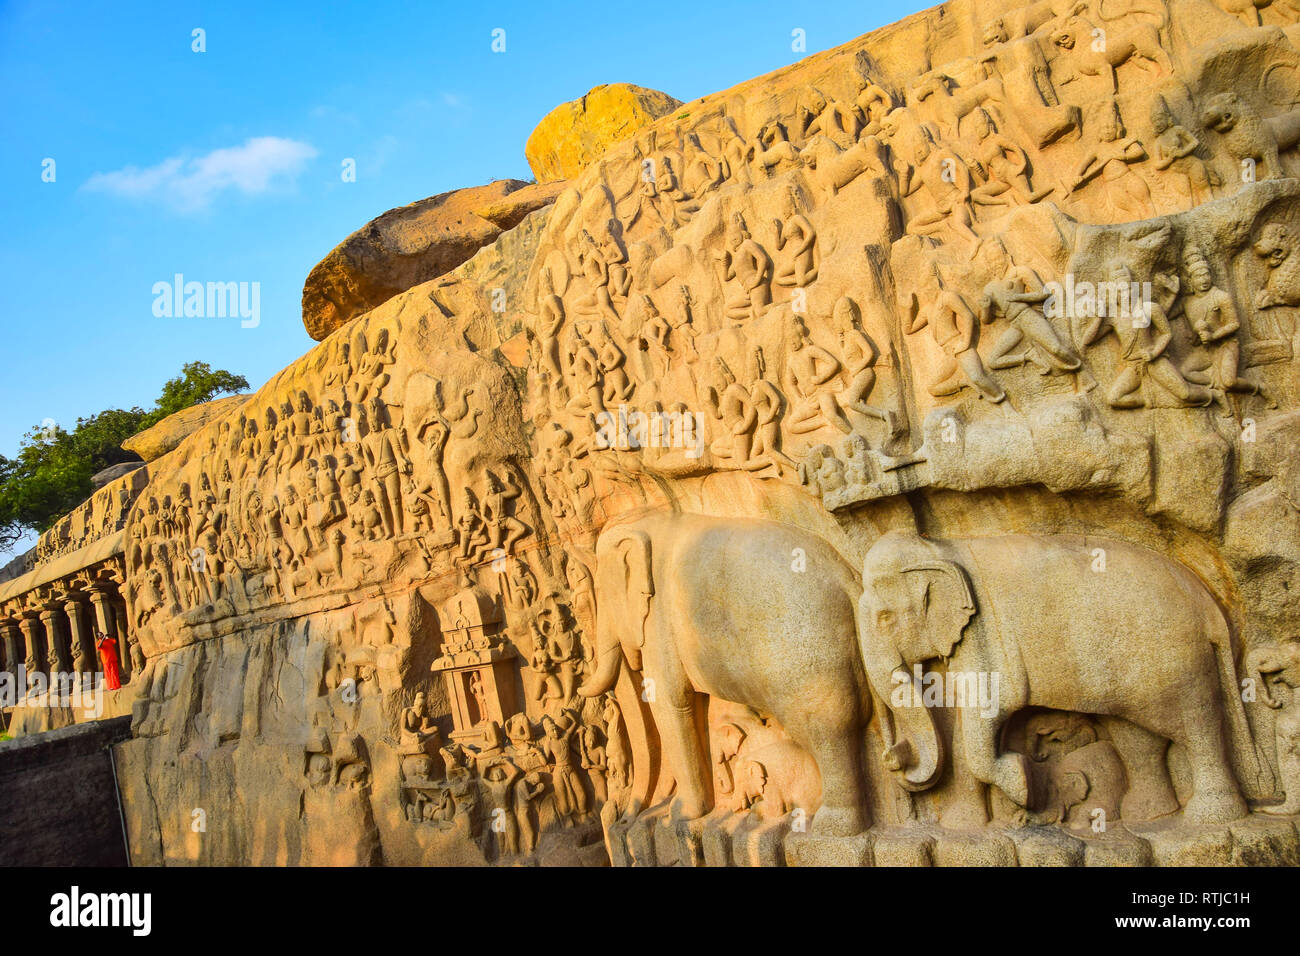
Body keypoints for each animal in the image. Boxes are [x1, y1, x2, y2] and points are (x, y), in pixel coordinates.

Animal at [577, 512, 872, 836]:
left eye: (601, 592)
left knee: (828, 730)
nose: (622, 822)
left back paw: (831, 827)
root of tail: (849, 577)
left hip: (809, 656)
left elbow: (669, 704)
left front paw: (678, 814)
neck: (649, 523)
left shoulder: (659, 620)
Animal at [858, 531, 1264, 825]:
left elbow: (985, 714)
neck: (936, 548)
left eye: (885, 618)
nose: (894, 755)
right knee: (1137, 739)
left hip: (1177, 660)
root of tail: (1208, 604)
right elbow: (963, 729)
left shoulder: (985, 636)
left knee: (1198, 727)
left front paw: (1023, 786)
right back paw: (1148, 815)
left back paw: (1211, 817)